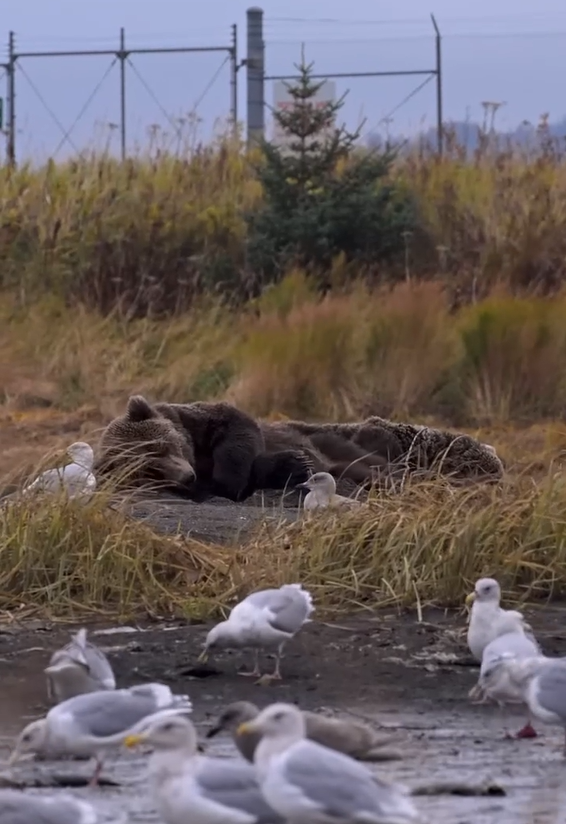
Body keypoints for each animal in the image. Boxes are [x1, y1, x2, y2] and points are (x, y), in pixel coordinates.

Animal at [94, 395, 312, 502]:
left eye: (165, 446)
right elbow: (214, 489)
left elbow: (236, 432)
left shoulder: (196, 421)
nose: (187, 476)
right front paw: (292, 465)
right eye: (150, 470)